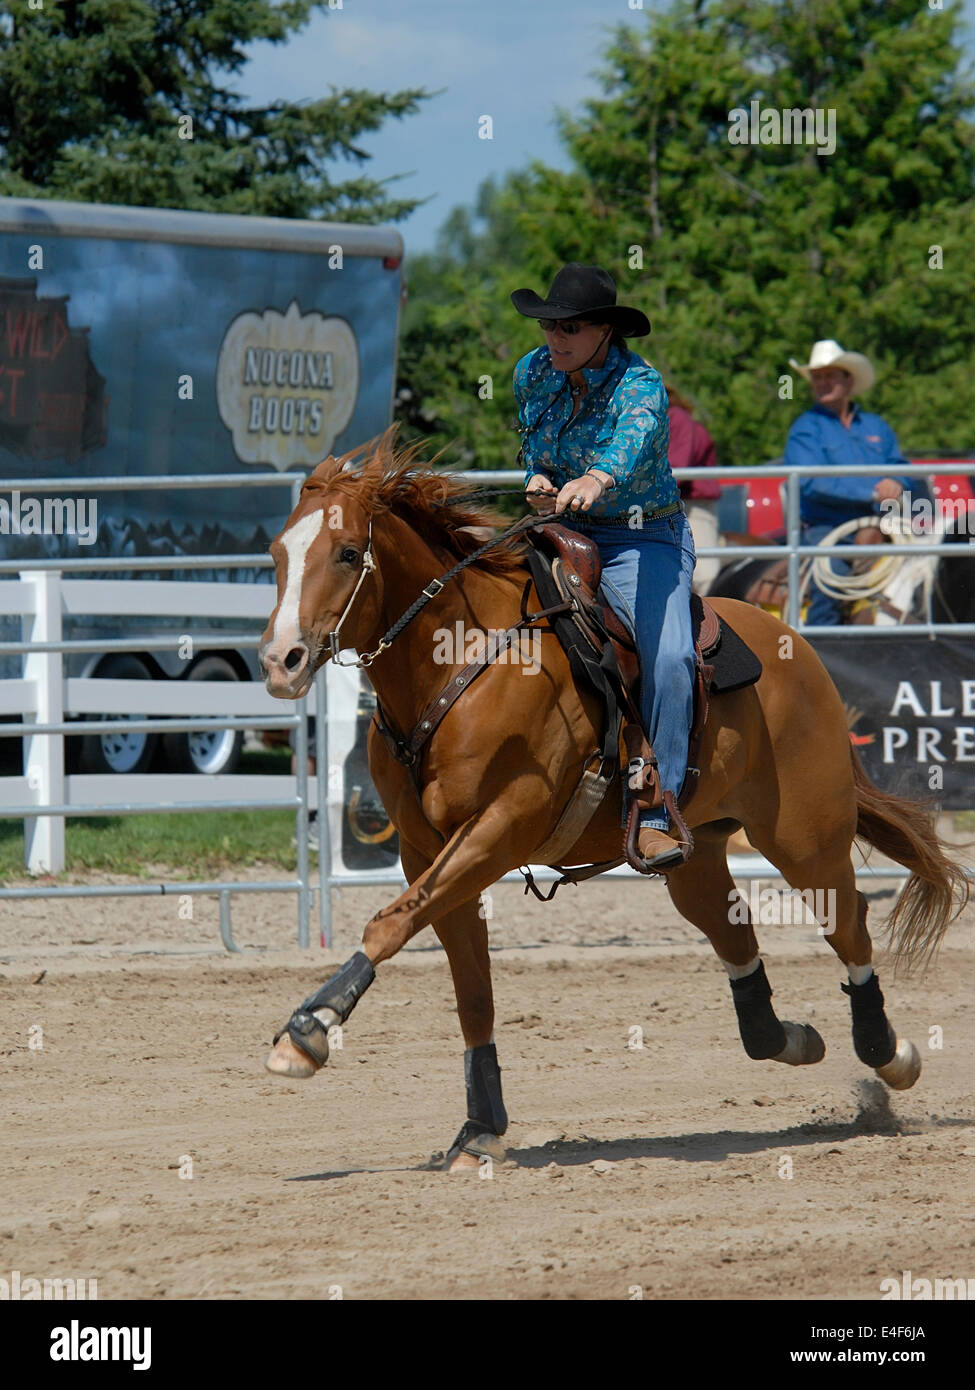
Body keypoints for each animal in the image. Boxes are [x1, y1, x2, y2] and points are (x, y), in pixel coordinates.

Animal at [259, 434, 970, 1171]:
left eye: (347, 553)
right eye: (278, 553)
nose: (280, 661)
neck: (463, 662)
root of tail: (795, 648)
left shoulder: (501, 828)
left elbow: (388, 926)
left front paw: (307, 1031)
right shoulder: (424, 852)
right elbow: (470, 988)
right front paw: (480, 1128)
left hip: (807, 838)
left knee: (849, 927)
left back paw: (890, 1056)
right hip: (695, 857)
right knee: (736, 938)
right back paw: (793, 1040)